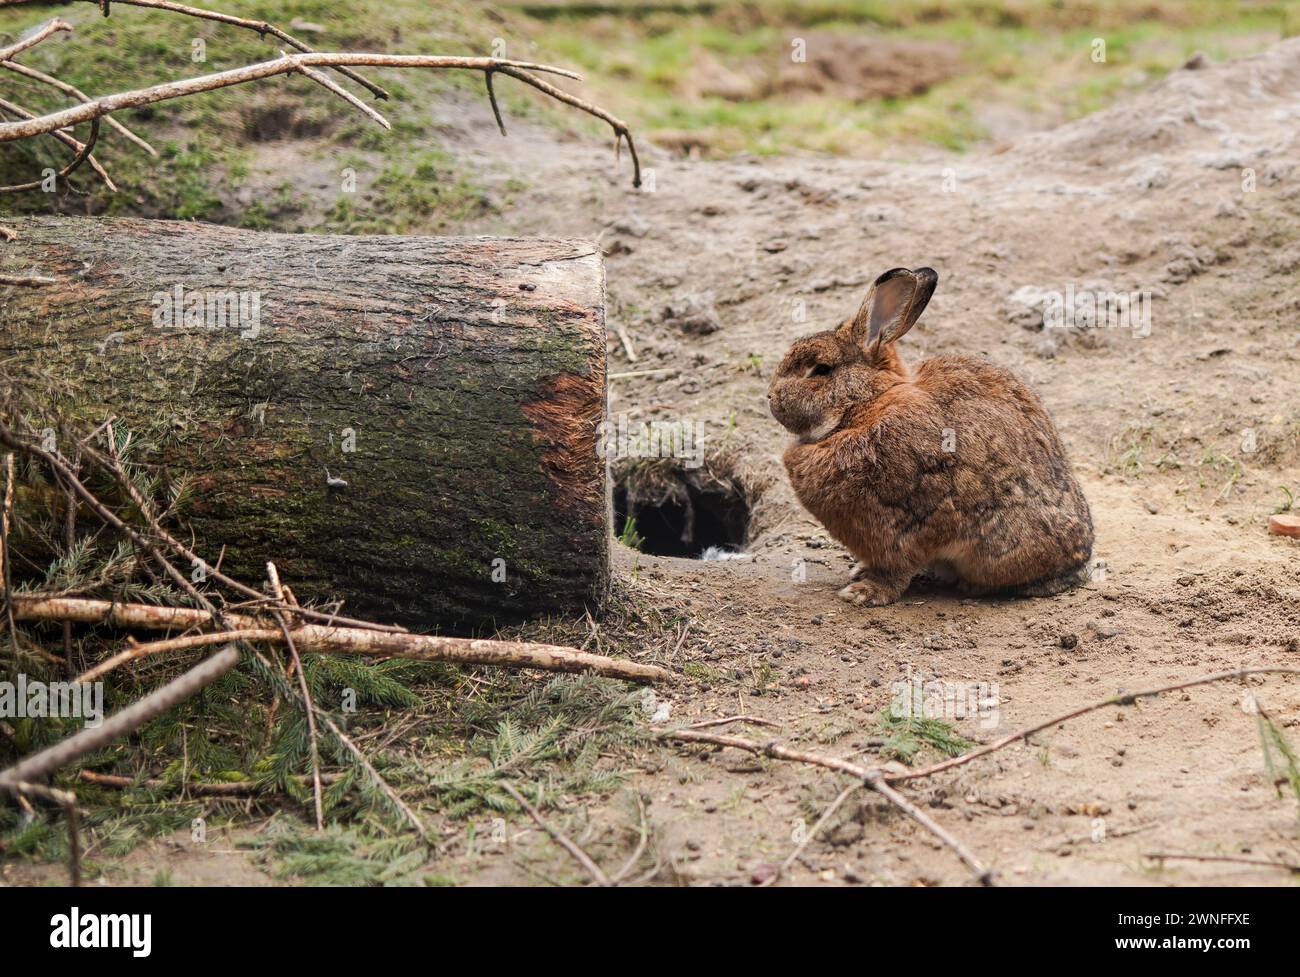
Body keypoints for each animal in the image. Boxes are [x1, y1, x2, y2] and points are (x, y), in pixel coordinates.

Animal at [767, 266, 1094, 607]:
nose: (770, 397)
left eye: (820, 370)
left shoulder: (907, 526)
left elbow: (897, 567)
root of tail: (1081, 556)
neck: (870, 402)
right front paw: (859, 573)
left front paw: (863, 592)